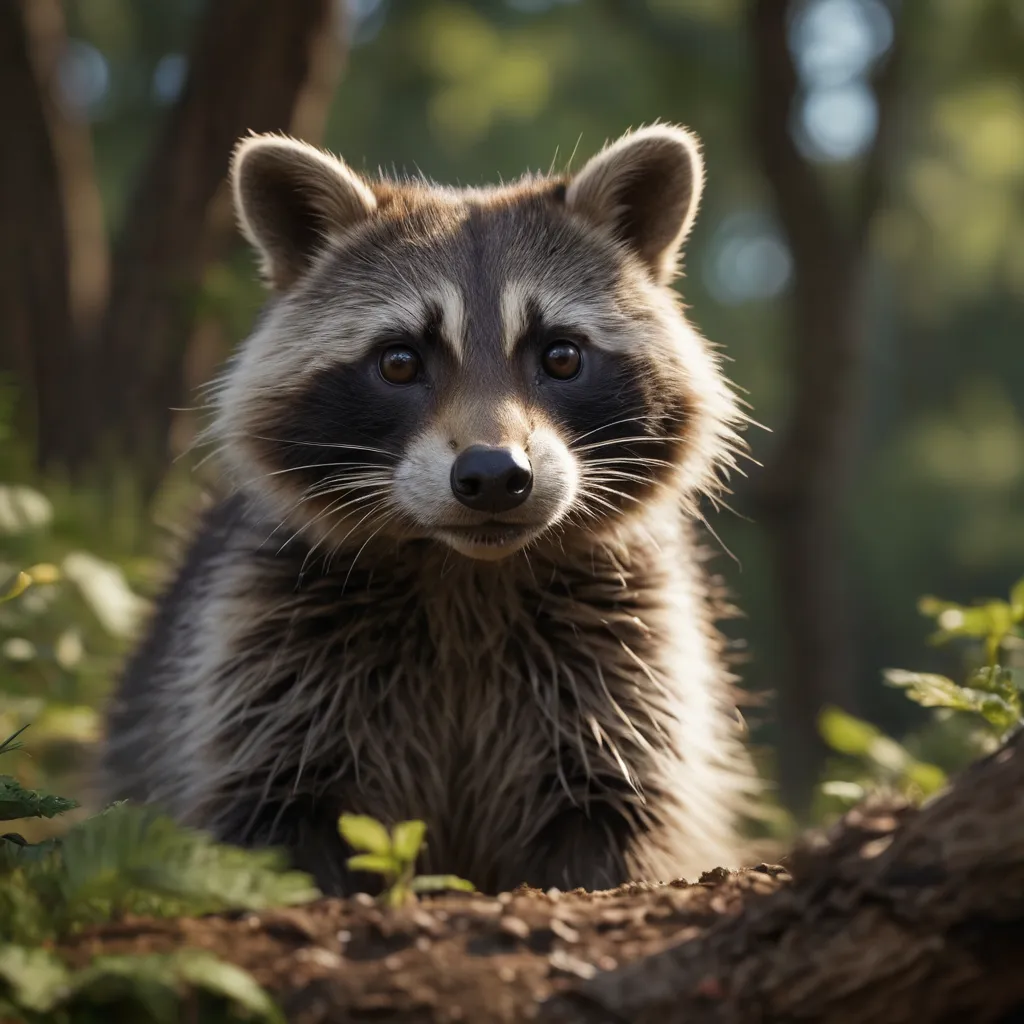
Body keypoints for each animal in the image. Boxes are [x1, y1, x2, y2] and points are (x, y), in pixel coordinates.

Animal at [99, 124, 757, 896]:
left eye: (562, 356)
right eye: (400, 362)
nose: (495, 476)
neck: (464, 571)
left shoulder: (630, 651)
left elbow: (620, 813)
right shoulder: (260, 638)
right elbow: (270, 814)